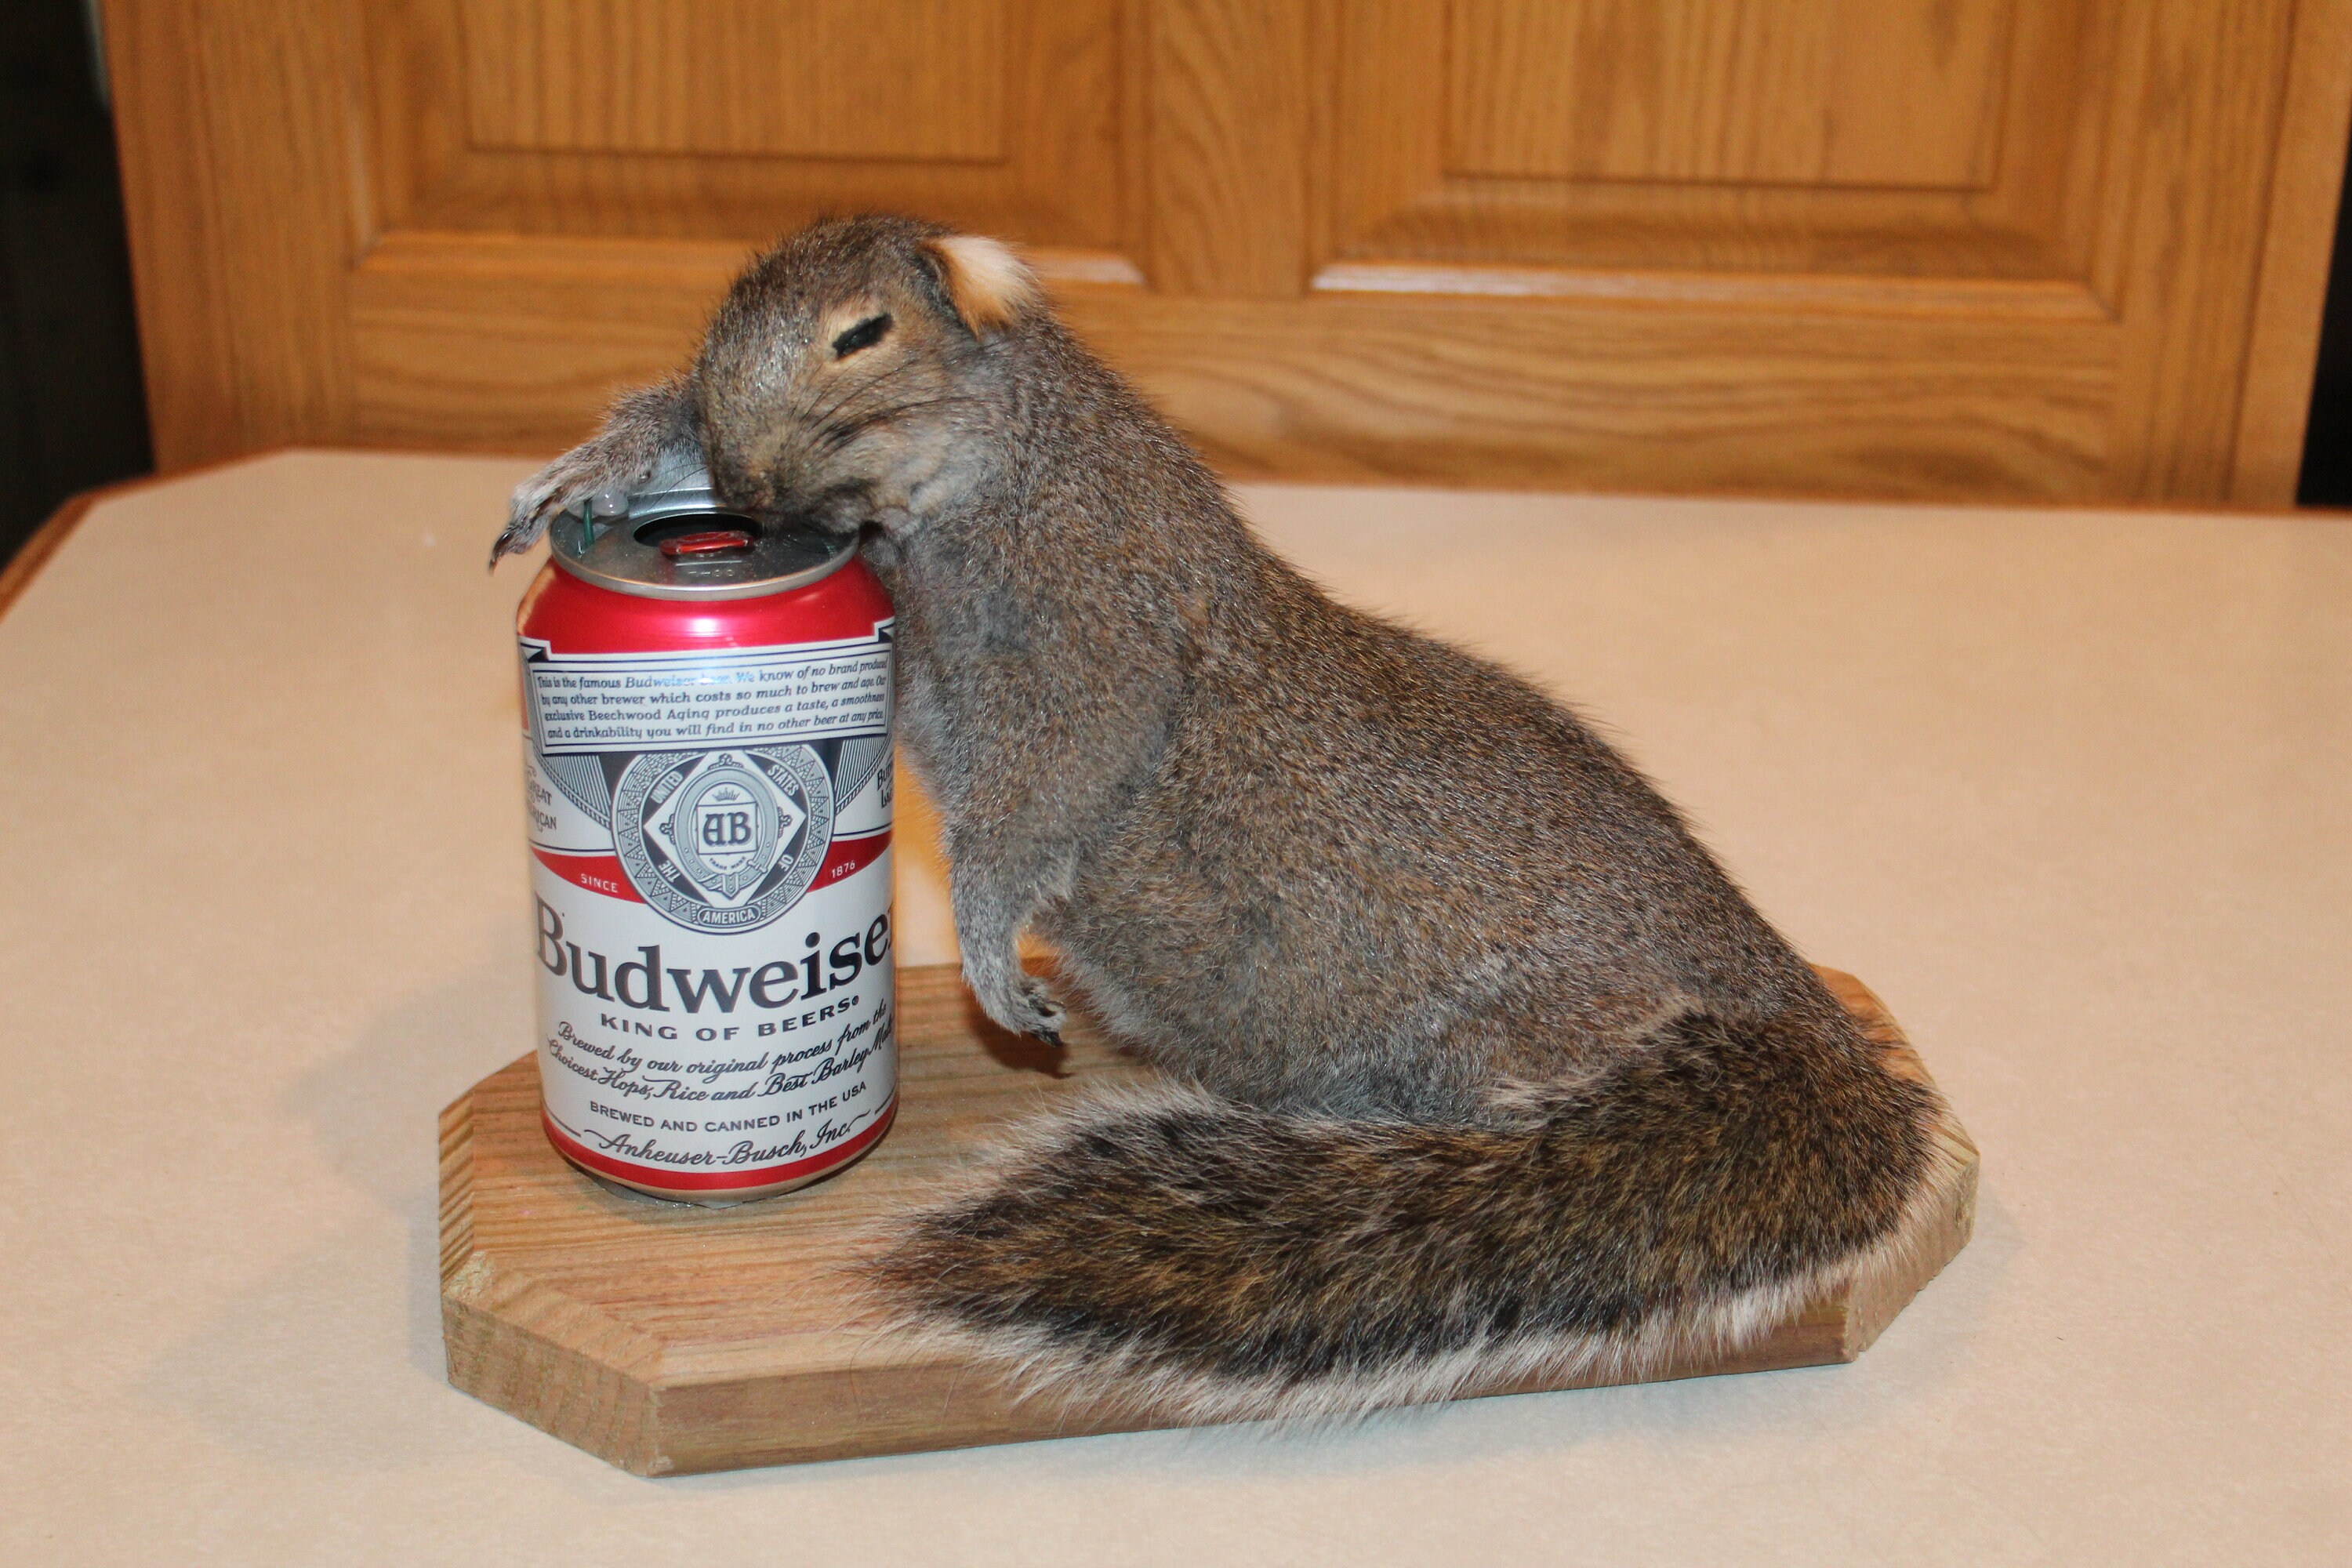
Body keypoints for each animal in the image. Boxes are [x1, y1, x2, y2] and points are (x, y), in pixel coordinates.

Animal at [494, 214, 1964, 1422]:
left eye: (864, 334)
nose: (740, 493)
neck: (979, 473)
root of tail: (1785, 1000)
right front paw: (609, 456)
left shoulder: (1089, 628)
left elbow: (1039, 796)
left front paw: (986, 950)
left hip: (1514, 1030)